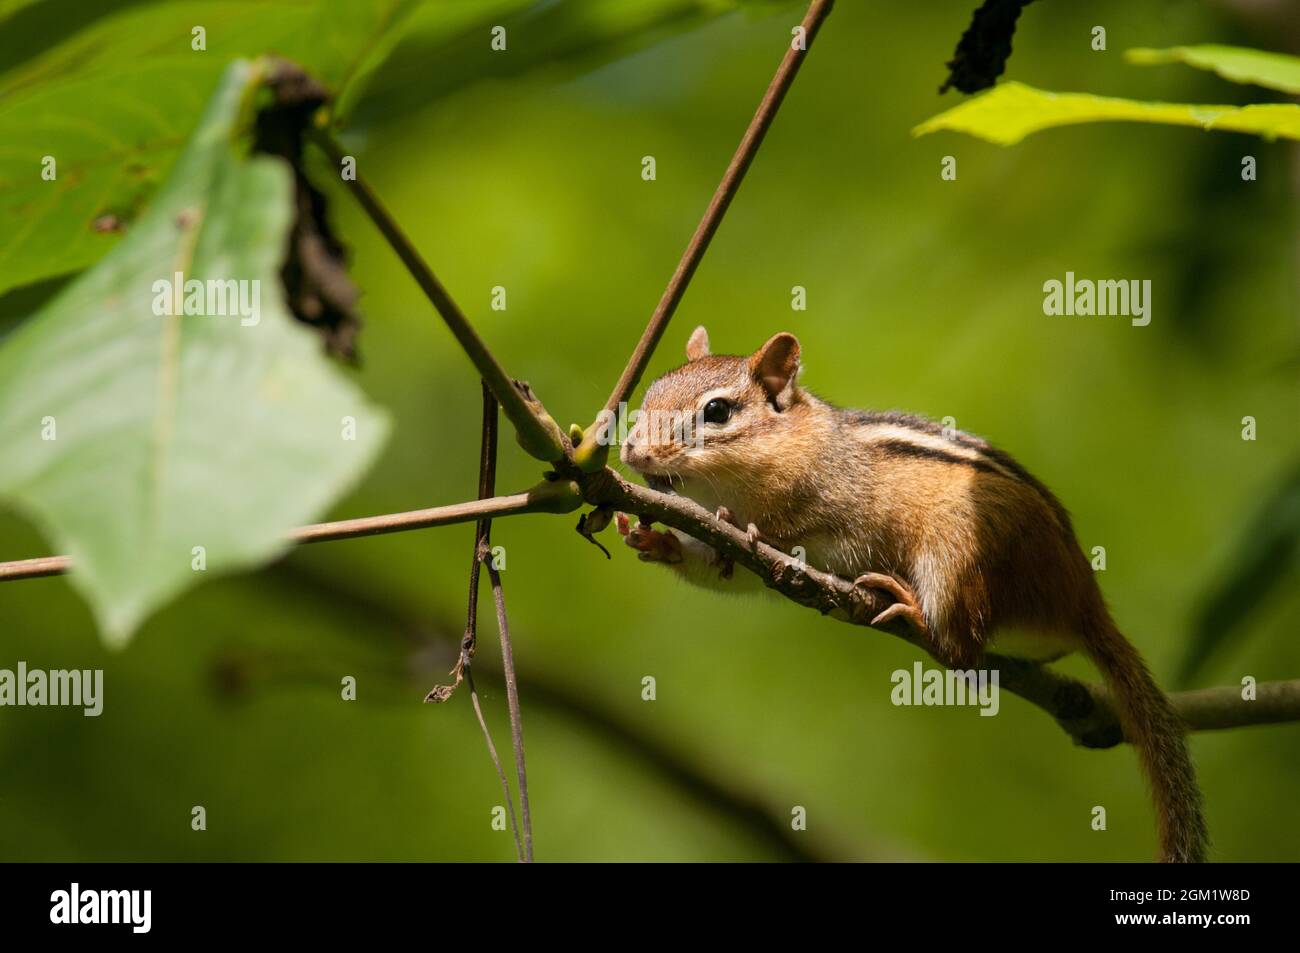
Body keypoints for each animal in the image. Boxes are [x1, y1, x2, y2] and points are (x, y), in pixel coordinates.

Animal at [616, 325, 1207, 863]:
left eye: (716, 412)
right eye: (648, 396)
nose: (631, 450)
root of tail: (1083, 601)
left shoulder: (831, 500)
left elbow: (790, 534)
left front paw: (744, 525)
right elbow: (722, 568)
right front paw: (659, 541)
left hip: (959, 552)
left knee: (960, 649)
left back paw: (910, 607)